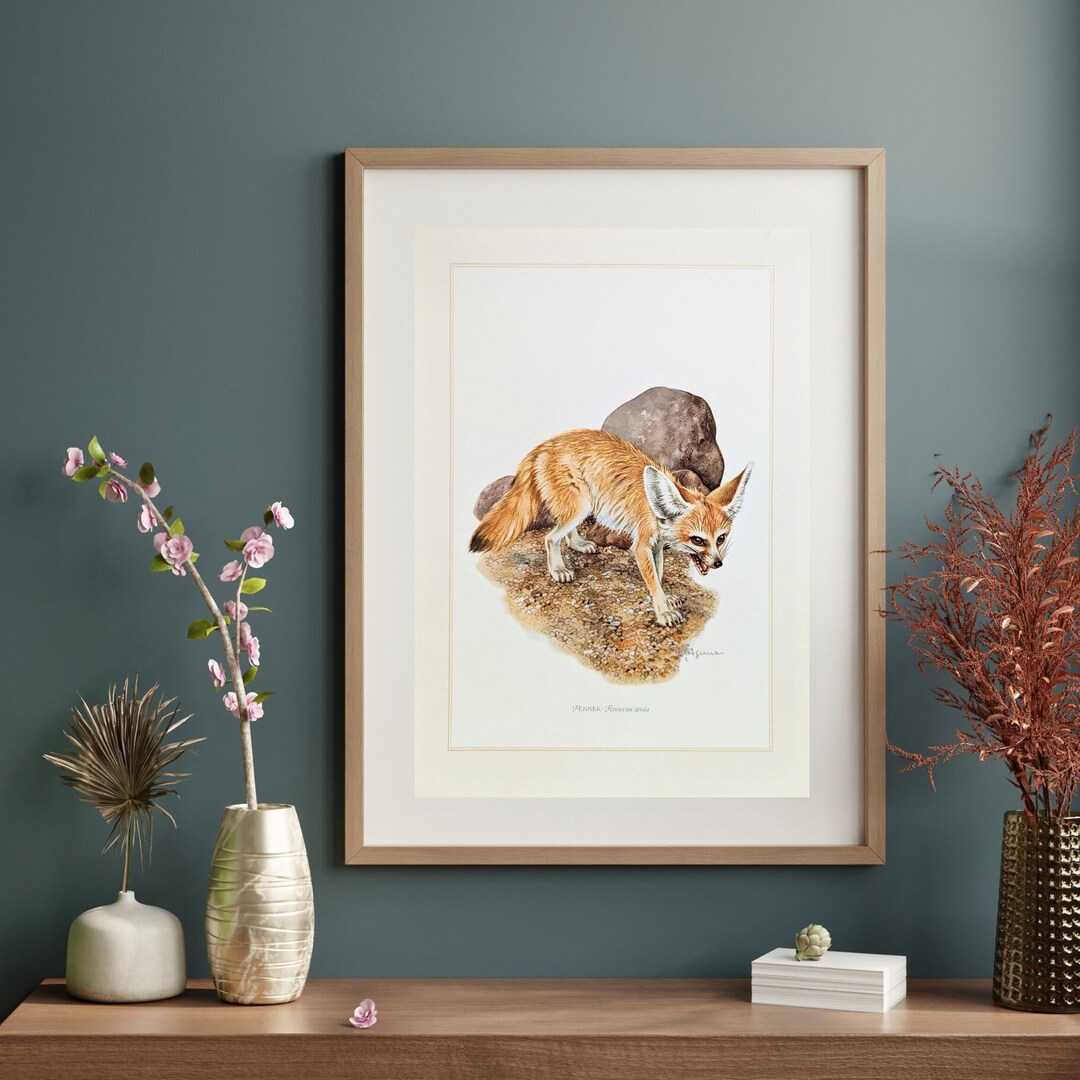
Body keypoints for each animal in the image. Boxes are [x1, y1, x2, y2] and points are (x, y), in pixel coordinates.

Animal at [469, 429, 753, 627]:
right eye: (698, 540)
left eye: (720, 539)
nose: (718, 563)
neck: (656, 508)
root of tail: (543, 445)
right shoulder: (641, 545)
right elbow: (653, 580)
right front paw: (663, 611)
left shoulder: (657, 544)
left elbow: (659, 574)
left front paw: (666, 596)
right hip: (580, 504)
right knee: (551, 538)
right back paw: (558, 569)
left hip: (584, 504)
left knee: (564, 533)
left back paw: (579, 544)